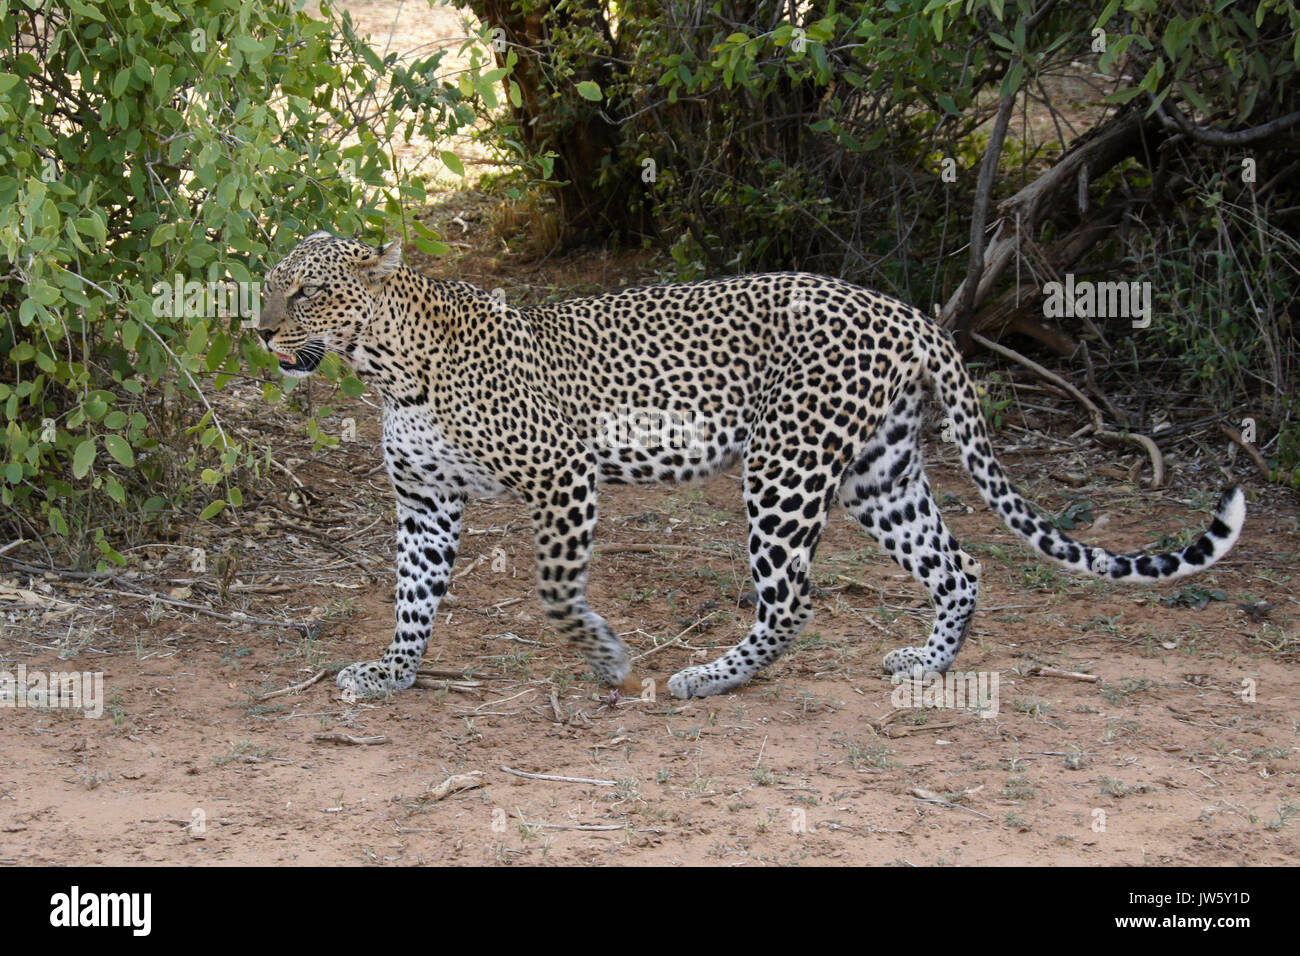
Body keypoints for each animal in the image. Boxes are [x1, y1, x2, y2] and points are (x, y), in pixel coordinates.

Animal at [255, 232, 1245, 700]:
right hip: (879, 471)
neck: (388, 368)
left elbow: (556, 591)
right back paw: (927, 667)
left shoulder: (563, 475)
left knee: (794, 597)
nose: (260, 331)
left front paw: (608, 659)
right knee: (957, 566)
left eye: (306, 290)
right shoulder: (425, 500)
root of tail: (910, 315)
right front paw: (393, 674)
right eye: (270, 285)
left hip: (784, 465)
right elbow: (413, 597)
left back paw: (714, 675)